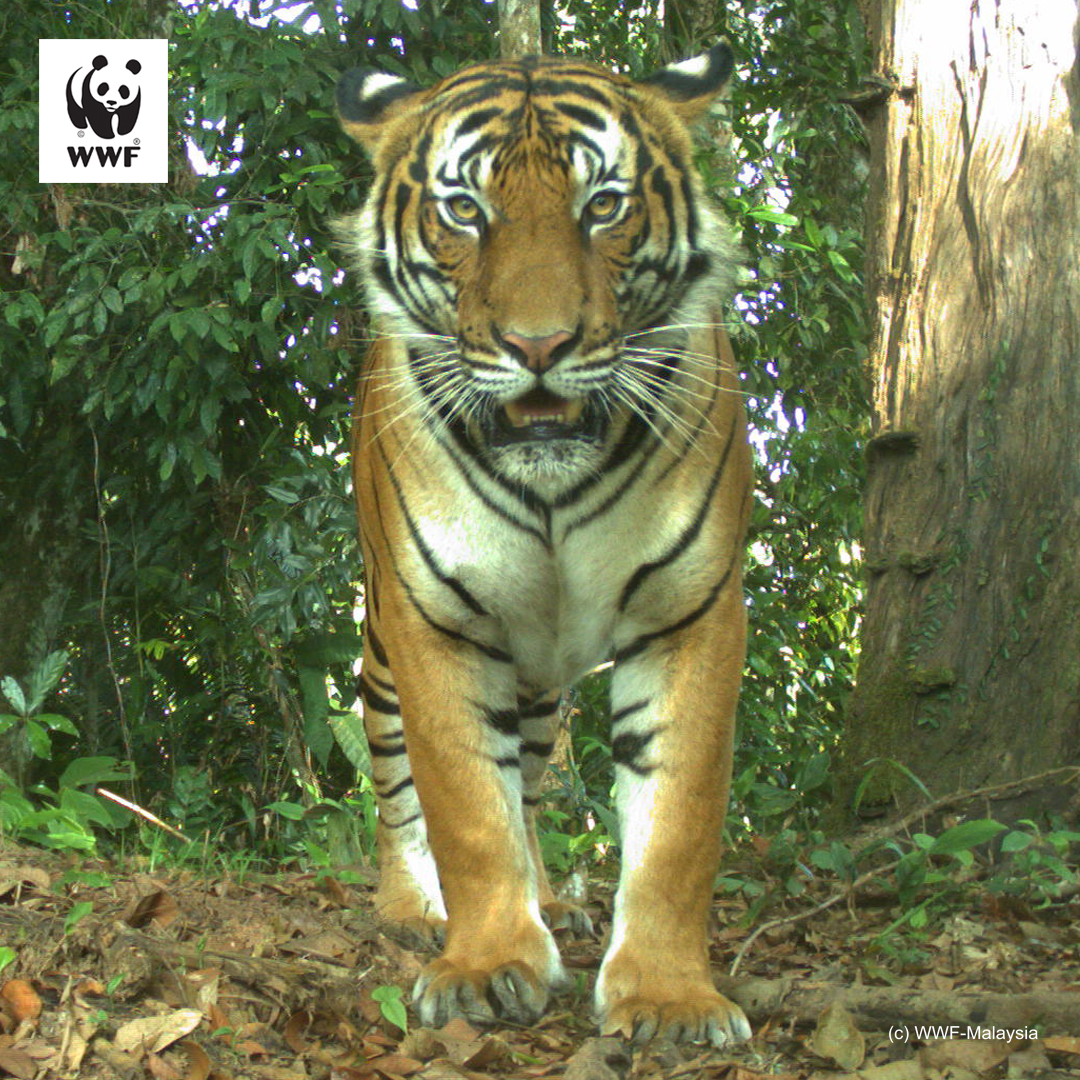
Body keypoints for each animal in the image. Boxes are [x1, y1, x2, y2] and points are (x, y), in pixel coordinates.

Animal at [334, 43, 753, 1047]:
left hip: (537, 680)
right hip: (381, 648)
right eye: (464, 210)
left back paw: (553, 903)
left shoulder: (692, 611)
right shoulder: (434, 623)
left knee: (525, 783)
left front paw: (668, 998)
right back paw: (410, 909)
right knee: (398, 783)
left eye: (602, 205)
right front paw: (485, 968)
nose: (539, 344)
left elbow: (677, 822)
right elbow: (464, 811)